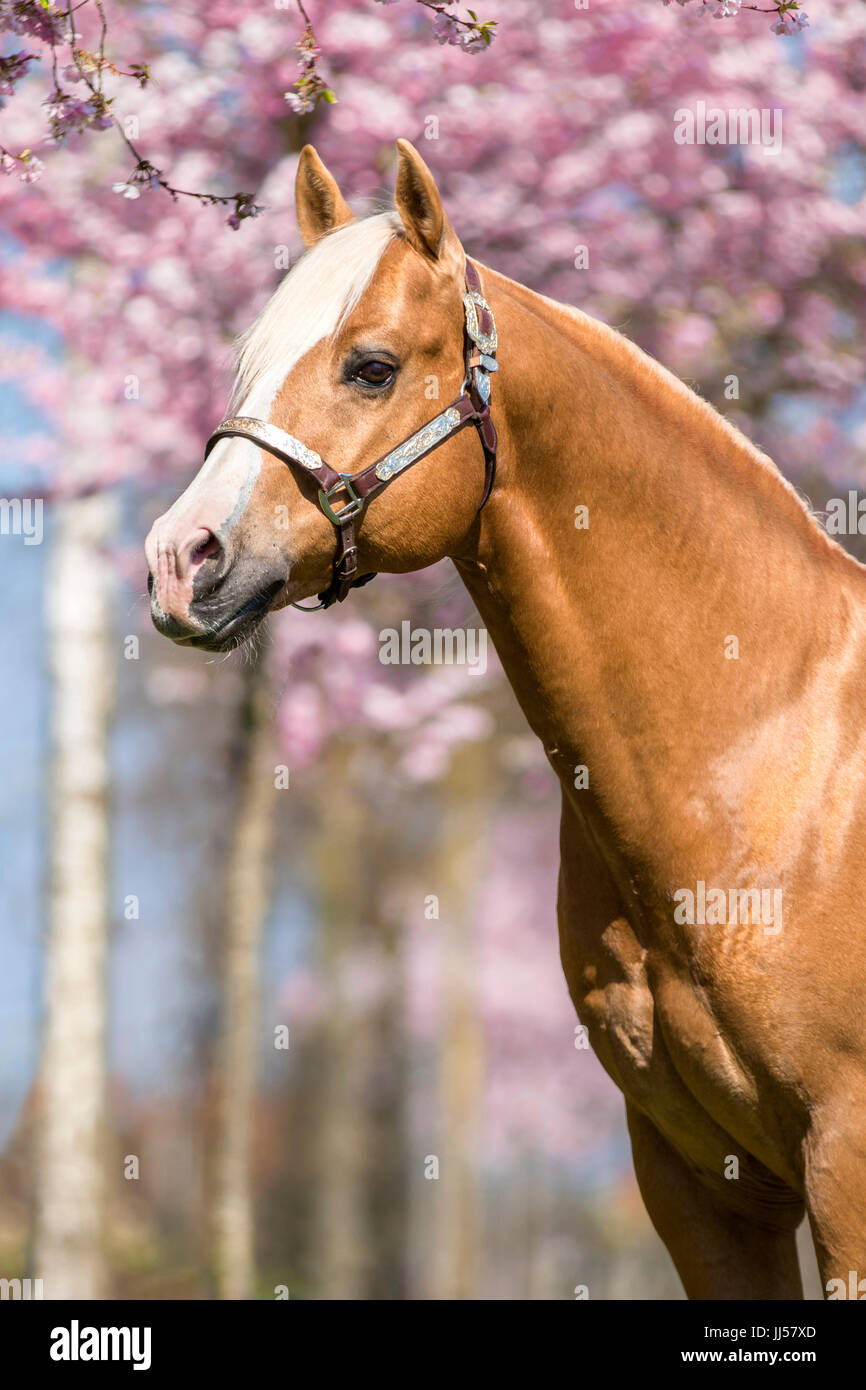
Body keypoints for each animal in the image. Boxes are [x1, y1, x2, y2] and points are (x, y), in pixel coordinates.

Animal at [146, 139, 866, 1300]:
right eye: (245, 363)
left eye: (371, 366)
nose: (181, 557)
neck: (778, 768)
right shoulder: (697, 1179)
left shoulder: (845, 1157)